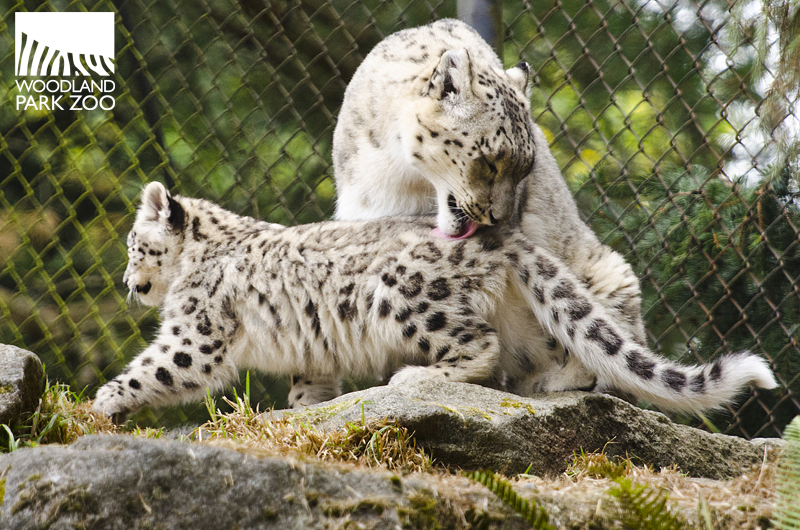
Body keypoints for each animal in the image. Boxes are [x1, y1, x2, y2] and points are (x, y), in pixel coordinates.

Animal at [91, 182, 776, 423]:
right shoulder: (313, 354)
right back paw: (553, 380)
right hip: (521, 314)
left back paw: (418, 377)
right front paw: (305, 411)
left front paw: (101, 402)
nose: (127, 284)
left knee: (481, 347)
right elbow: (310, 386)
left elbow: (157, 367)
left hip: (405, 297)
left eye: (134, 244)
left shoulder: (196, 331)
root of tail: (496, 234)